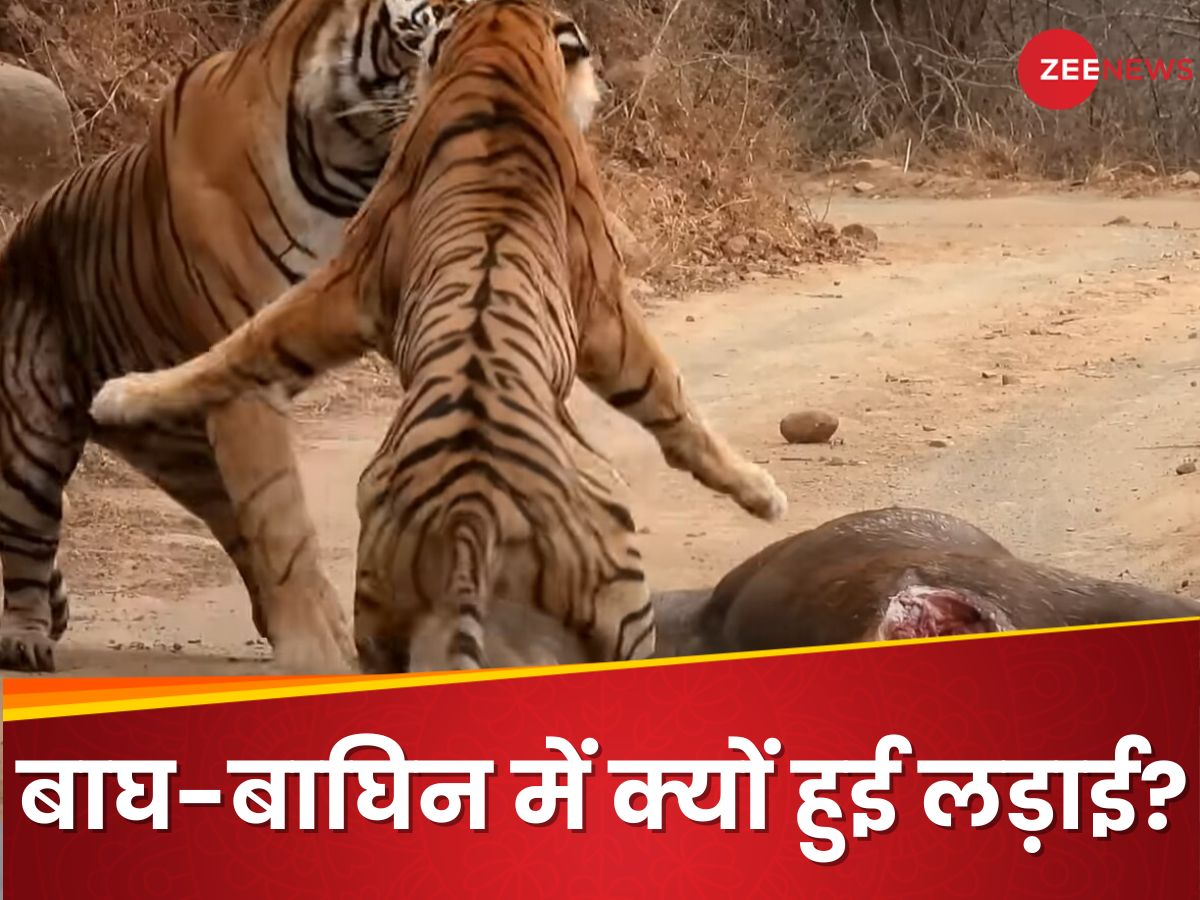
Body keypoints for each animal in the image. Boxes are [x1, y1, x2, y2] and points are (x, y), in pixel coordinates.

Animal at [0, 0, 475, 673]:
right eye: (423, 29)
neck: (347, 170)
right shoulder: (247, 376)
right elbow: (283, 521)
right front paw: (316, 653)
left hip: (186, 453)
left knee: (236, 525)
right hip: (31, 442)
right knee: (27, 545)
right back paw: (26, 637)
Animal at [89, 0, 789, 672]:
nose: (607, 89)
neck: (498, 56)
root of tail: (469, 513)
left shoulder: (352, 281)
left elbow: (246, 344)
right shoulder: (600, 308)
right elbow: (669, 396)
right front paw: (764, 495)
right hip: (618, 605)